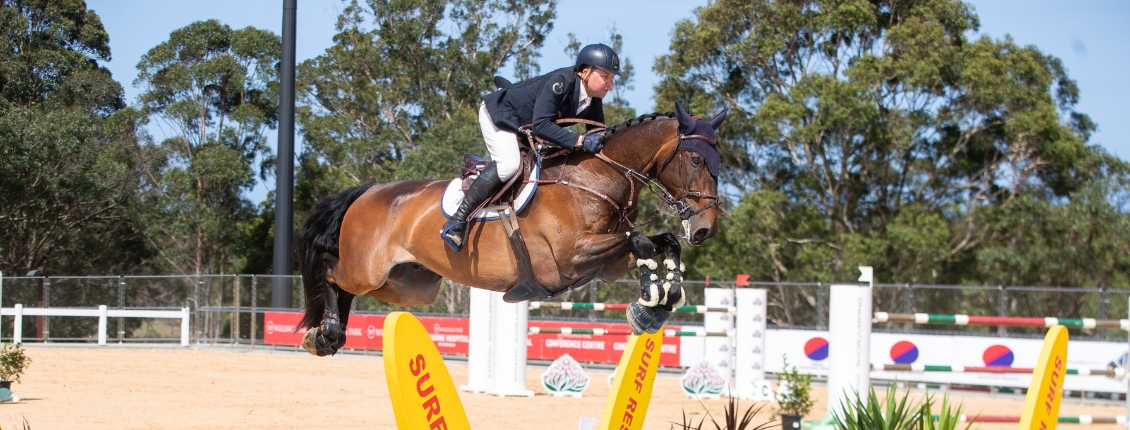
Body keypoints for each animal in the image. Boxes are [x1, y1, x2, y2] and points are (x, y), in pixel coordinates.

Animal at [295, 102, 727, 356]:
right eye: (694, 160)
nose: (705, 228)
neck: (596, 177)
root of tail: (367, 191)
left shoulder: (604, 265)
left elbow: (661, 242)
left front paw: (661, 301)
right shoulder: (568, 259)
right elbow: (641, 242)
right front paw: (648, 304)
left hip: (407, 285)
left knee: (348, 286)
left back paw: (328, 335)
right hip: (368, 270)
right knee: (331, 271)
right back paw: (326, 332)